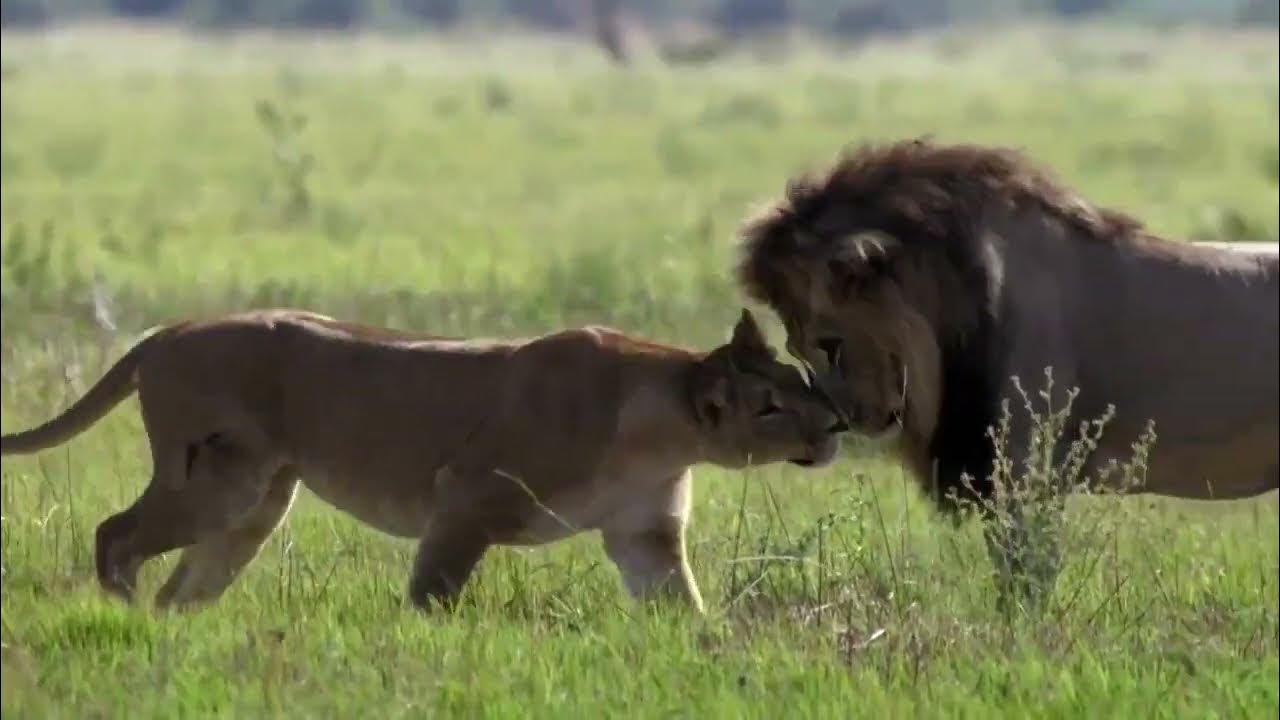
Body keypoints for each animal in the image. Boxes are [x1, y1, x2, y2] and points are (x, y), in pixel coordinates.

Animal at [1, 308, 845, 614]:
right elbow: (433, 594)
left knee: (183, 584)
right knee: (114, 533)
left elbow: (681, 608)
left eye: (804, 385)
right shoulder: (464, 498)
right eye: (771, 407)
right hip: (216, 482)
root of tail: (167, 330)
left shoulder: (646, 536)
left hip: (257, 501)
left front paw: (707, 652)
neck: (663, 429)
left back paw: (170, 627)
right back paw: (120, 614)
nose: (837, 423)